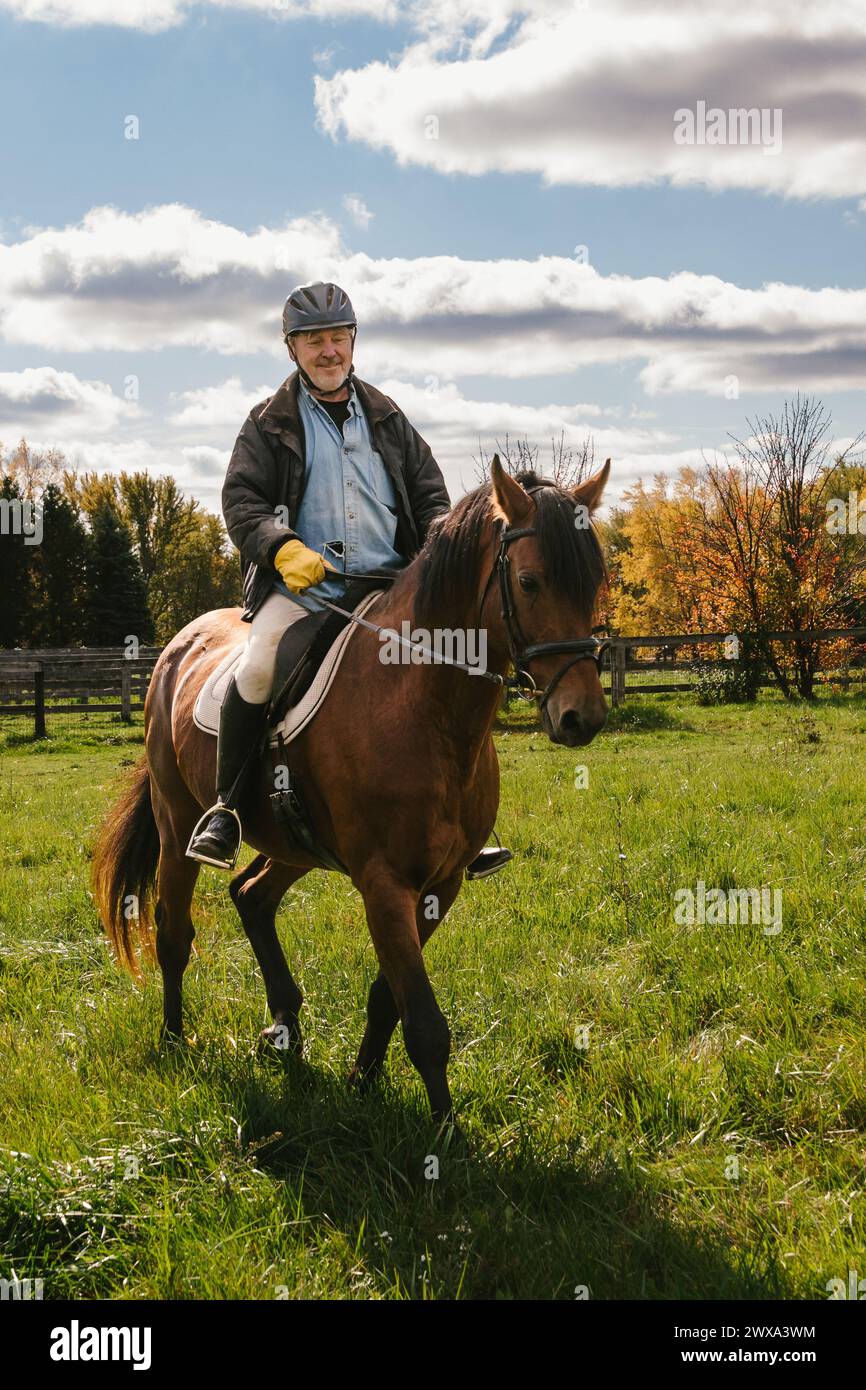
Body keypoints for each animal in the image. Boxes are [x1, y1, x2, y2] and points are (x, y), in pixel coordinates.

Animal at [92, 456, 611, 1124]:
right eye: (529, 581)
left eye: (594, 582)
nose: (582, 717)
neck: (423, 706)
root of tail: (175, 649)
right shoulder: (385, 884)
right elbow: (425, 1023)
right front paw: (446, 1136)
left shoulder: (439, 884)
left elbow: (390, 997)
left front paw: (364, 1081)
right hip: (178, 820)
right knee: (174, 931)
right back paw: (176, 1040)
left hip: (294, 844)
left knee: (252, 897)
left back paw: (284, 1027)